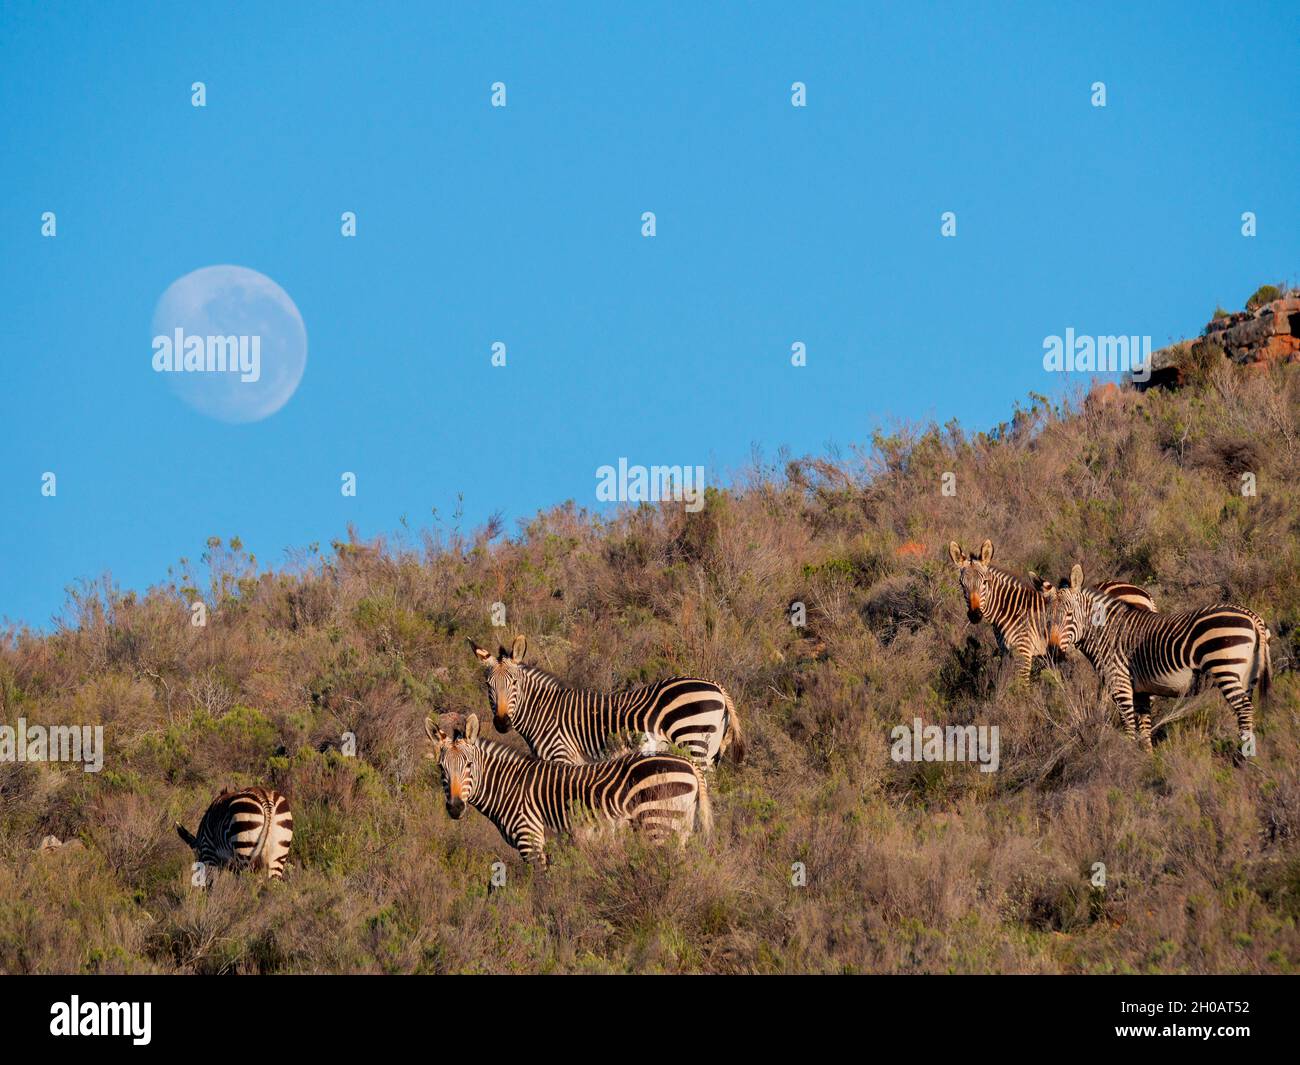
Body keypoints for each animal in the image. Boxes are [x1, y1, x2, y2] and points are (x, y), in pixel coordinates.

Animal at [424, 712, 709, 866]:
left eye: (469, 765)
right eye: (441, 769)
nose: (455, 808)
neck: (510, 787)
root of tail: (689, 764)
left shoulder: (530, 841)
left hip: (658, 824)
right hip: (678, 828)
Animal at [467, 635, 743, 768]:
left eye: (514, 684)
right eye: (488, 686)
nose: (502, 723)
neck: (544, 712)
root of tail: (716, 686)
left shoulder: (562, 755)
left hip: (692, 741)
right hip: (711, 749)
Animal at [948, 539, 1156, 683]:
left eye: (984, 582)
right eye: (961, 584)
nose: (975, 615)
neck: (1011, 610)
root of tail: (1146, 594)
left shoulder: (1024, 651)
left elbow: (1021, 687)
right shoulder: (1006, 652)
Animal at [1049, 562, 1273, 749]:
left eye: (1069, 614)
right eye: (1048, 617)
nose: (1052, 650)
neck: (1107, 632)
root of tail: (1252, 616)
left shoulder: (1120, 683)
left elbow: (1128, 725)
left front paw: (1126, 757)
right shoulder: (1140, 690)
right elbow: (1144, 727)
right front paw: (1146, 759)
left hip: (1225, 667)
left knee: (1244, 709)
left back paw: (1242, 757)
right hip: (1247, 675)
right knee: (1247, 709)